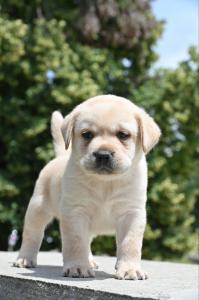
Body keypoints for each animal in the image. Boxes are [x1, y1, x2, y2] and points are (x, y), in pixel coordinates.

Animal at [13, 95, 160, 280]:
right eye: (87, 134)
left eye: (123, 135)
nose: (103, 154)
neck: (106, 182)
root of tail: (60, 156)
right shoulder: (75, 212)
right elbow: (76, 242)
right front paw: (77, 267)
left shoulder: (132, 213)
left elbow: (130, 243)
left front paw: (129, 269)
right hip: (38, 208)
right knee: (32, 235)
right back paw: (24, 259)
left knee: (87, 240)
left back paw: (90, 261)